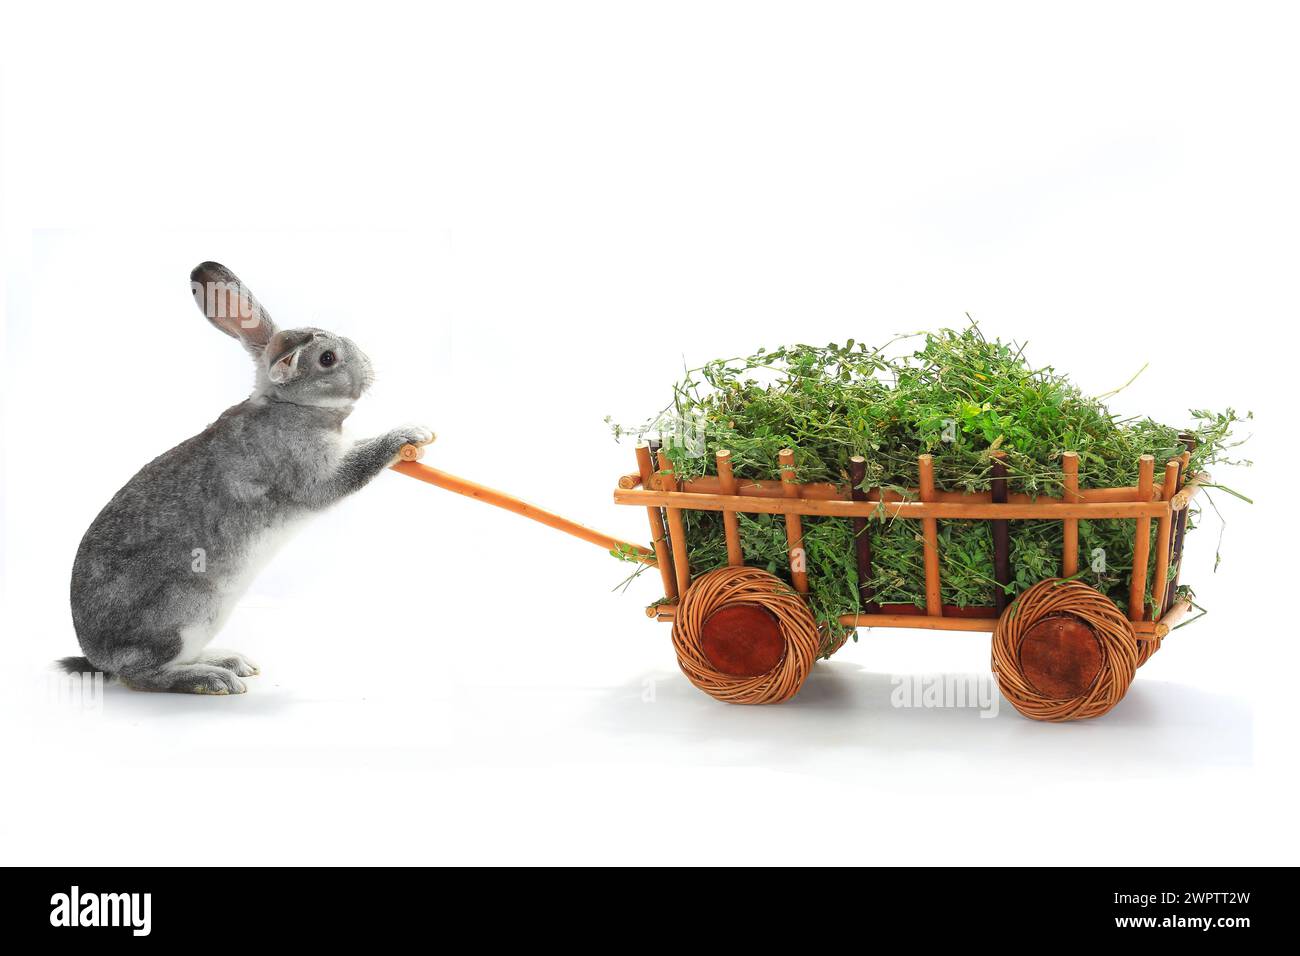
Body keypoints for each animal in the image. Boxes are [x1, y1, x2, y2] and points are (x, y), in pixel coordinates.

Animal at [62, 261, 433, 694]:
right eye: (327, 358)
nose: (370, 369)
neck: (289, 404)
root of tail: (98, 656)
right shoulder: (314, 473)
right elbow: (356, 466)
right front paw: (410, 434)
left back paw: (231, 661)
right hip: (186, 614)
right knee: (144, 674)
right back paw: (213, 679)